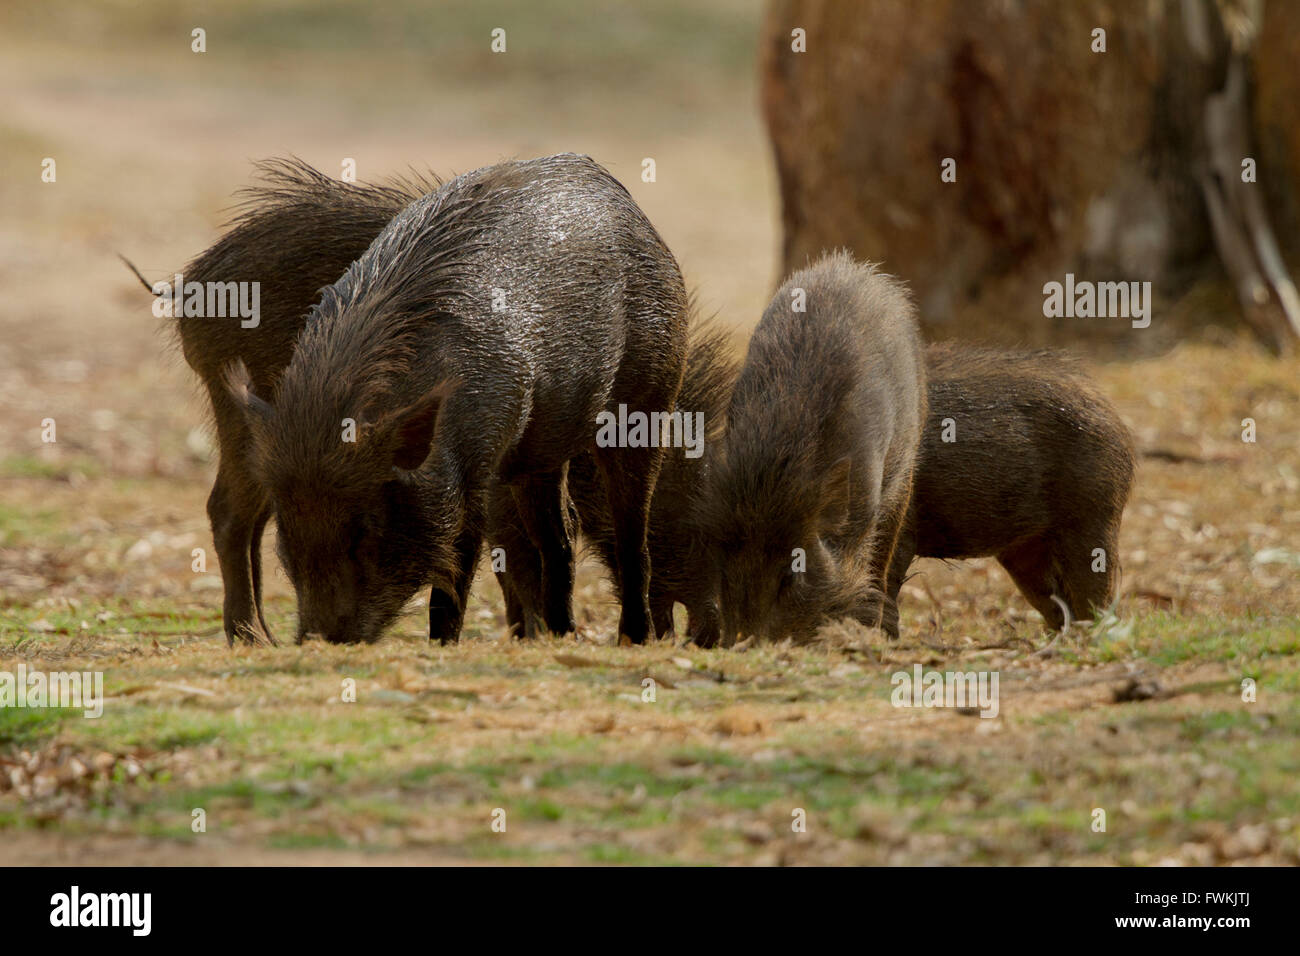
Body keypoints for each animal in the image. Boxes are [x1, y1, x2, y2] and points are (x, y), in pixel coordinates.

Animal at [227, 153, 688, 645]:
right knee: (561, 531)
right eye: (285, 527)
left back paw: (635, 638)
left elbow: (456, 568)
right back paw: (562, 635)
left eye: (367, 528)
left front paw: (443, 643)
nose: (318, 638)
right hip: (541, 451)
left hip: (651, 396)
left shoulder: (475, 464)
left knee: (632, 530)